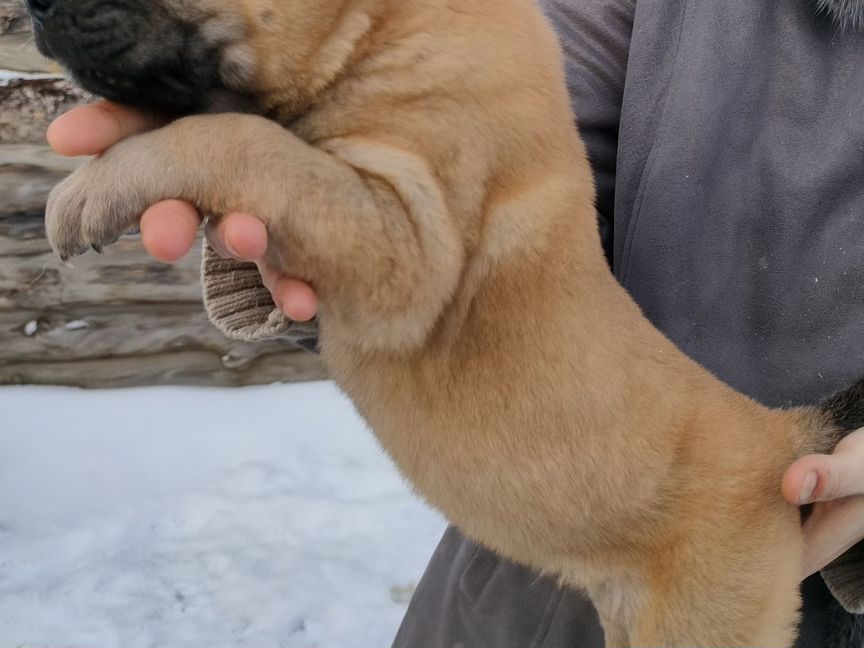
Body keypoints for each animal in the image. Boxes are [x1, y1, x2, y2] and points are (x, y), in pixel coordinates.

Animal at [25, 0, 864, 644]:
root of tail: (778, 435)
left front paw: (90, 191)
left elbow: (244, 139)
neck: (382, 23)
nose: (32, 5)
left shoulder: (408, 246)